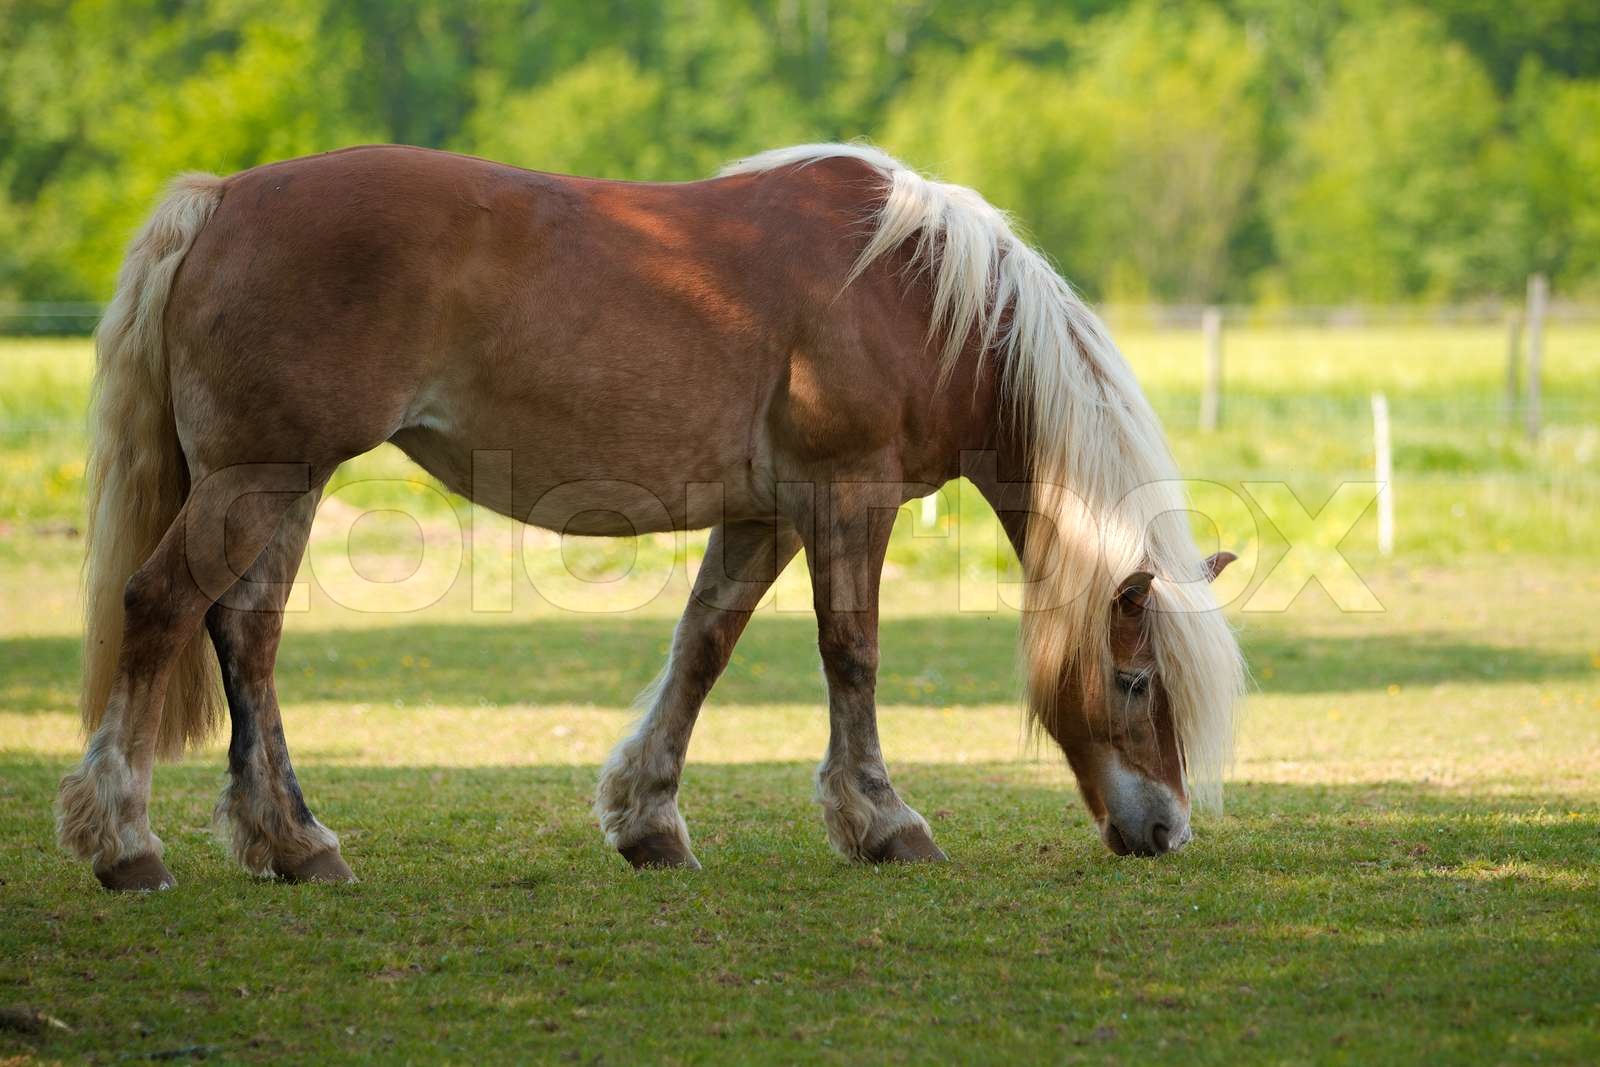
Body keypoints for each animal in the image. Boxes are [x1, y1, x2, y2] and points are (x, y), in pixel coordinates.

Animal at [55, 142, 1244, 891]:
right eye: (1135, 682)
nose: (1167, 829)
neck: (919, 295)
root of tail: (222, 199)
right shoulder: (847, 500)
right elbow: (851, 654)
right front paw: (884, 821)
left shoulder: (767, 514)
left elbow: (702, 647)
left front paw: (649, 819)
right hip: (257, 477)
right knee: (160, 607)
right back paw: (127, 844)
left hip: (283, 482)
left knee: (245, 635)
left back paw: (295, 843)